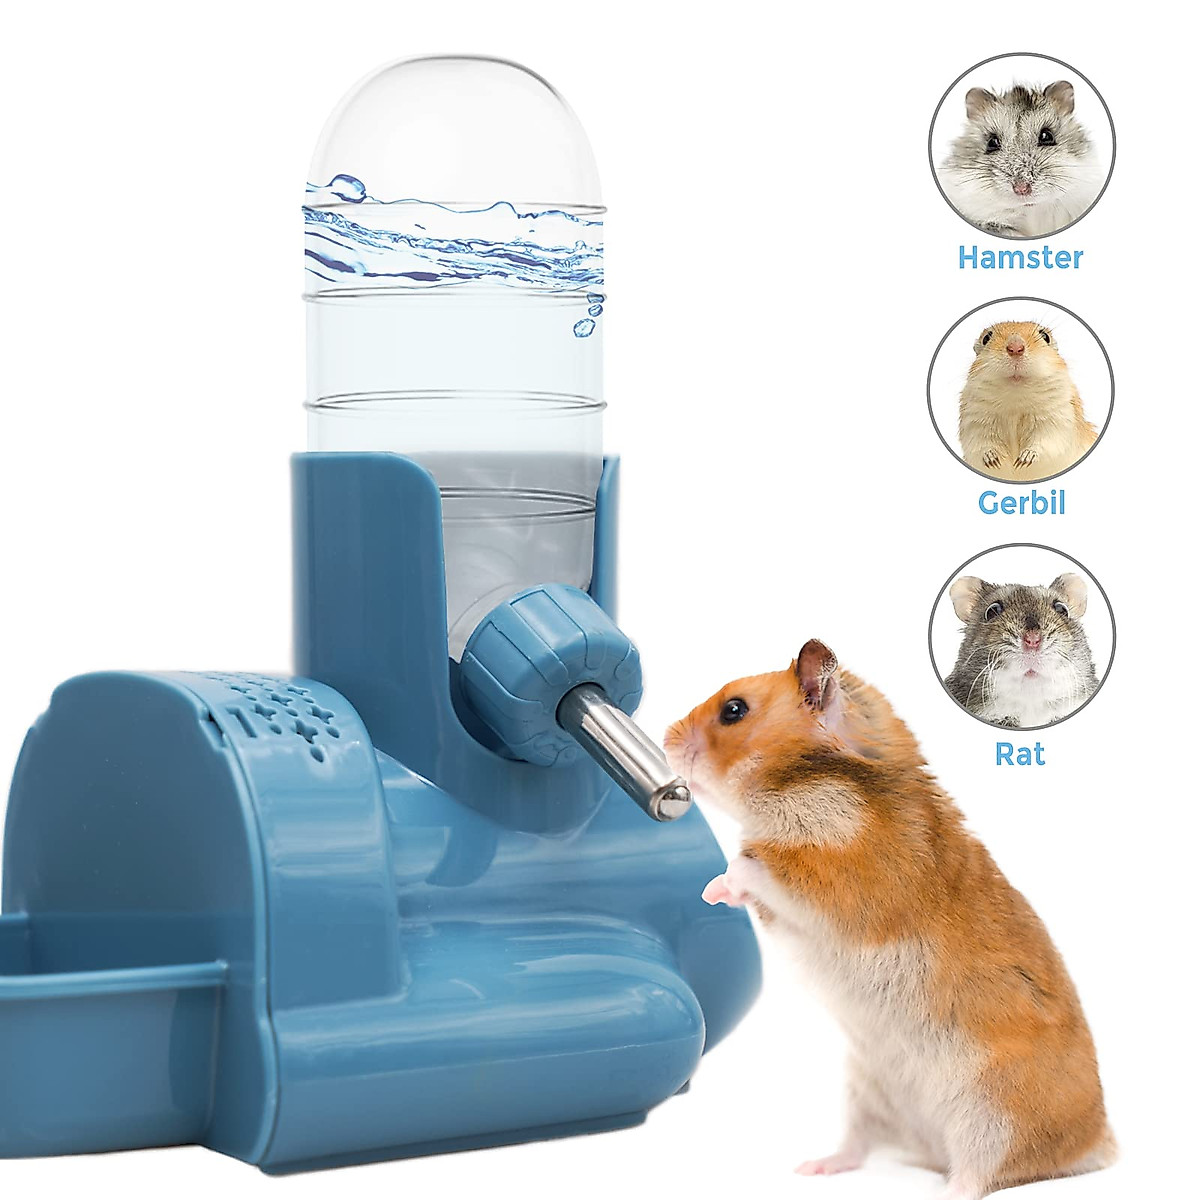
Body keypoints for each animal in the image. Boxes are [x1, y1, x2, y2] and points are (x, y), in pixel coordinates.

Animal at [664, 640, 1115, 1200]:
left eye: (734, 710)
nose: (665, 738)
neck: (809, 782)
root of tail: (1097, 1142)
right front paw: (713, 896)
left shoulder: (837, 879)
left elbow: (754, 864)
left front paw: (713, 886)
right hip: (871, 1088)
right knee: (859, 1146)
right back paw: (814, 1167)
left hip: (995, 1113)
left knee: (980, 1175)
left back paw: (943, 1190)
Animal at [958, 321, 1098, 481]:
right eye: (986, 338)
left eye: (1045, 336)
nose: (1015, 349)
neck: (1015, 395)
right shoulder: (976, 421)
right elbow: (982, 444)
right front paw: (994, 460)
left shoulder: (1056, 420)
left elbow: (1045, 443)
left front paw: (1022, 461)